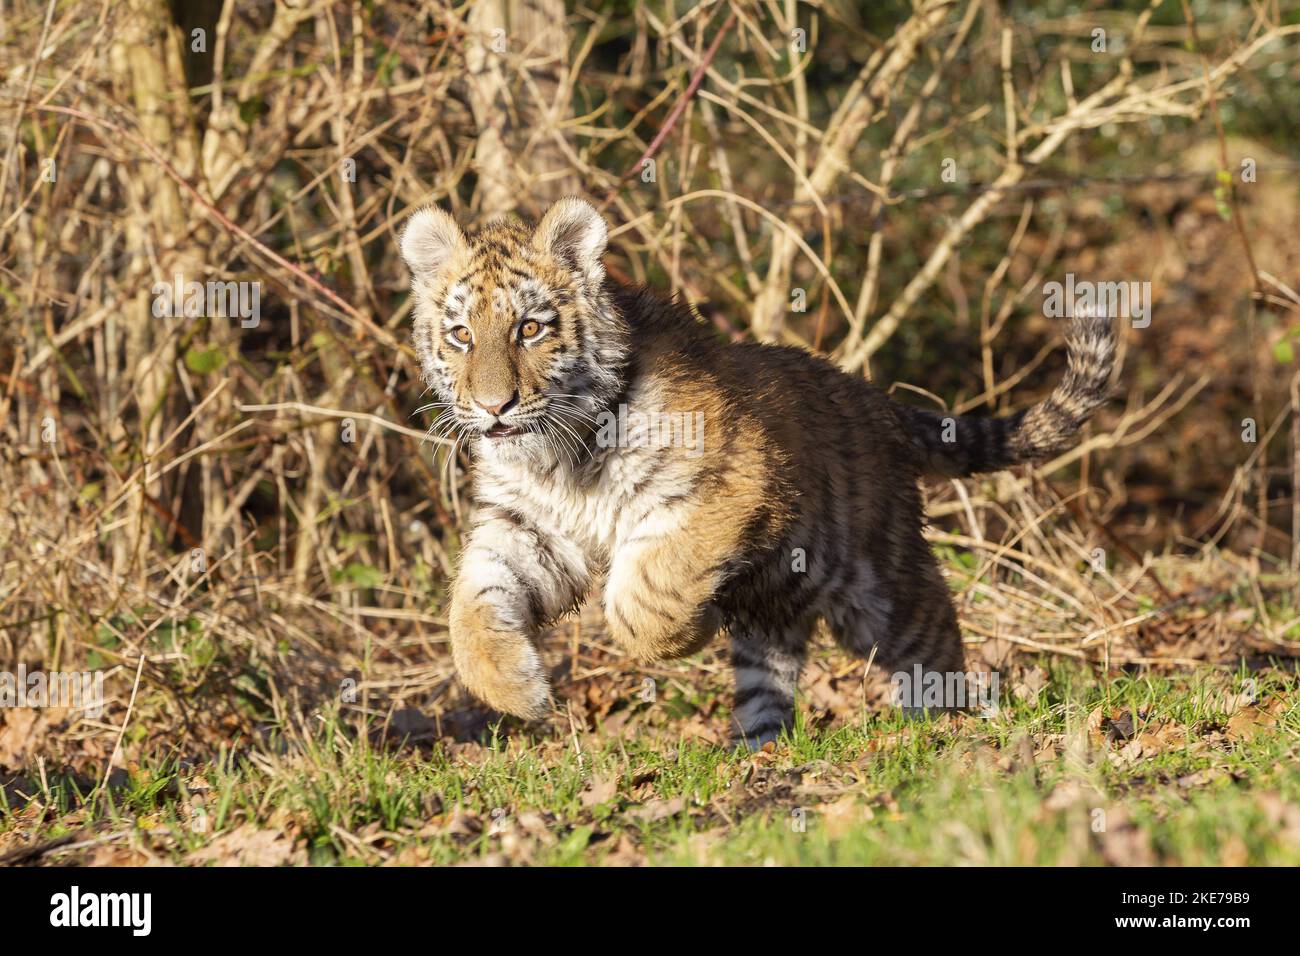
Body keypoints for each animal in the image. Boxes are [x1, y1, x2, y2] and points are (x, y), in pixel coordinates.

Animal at [401, 197, 1116, 747]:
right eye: (461, 335)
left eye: (529, 329)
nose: (493, 407)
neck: (559, 459)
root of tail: (873, 397)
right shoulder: (527, 529)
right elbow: (471, 608)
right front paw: (518, 693)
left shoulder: (730, 488)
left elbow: (644, 594)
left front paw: (680, 635)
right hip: (777, 613)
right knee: (768, 684)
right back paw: (758, 751)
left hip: (875, 584)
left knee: (933, 630)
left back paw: (940, 721)